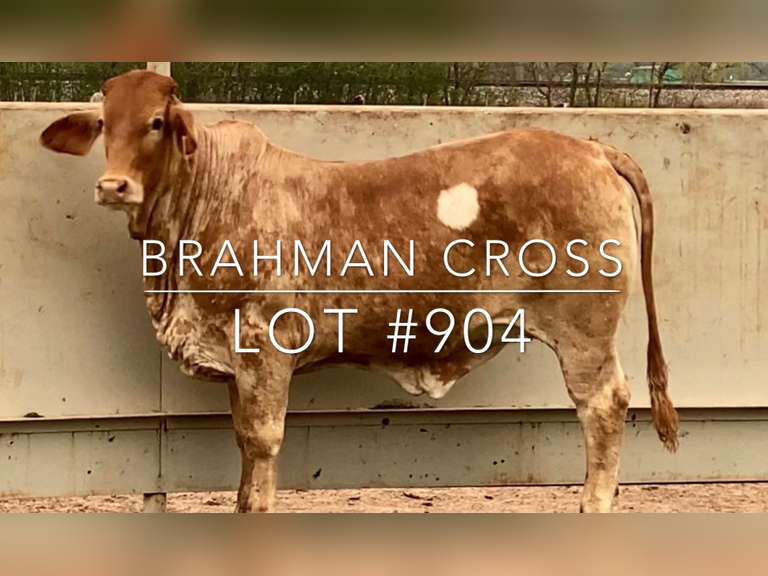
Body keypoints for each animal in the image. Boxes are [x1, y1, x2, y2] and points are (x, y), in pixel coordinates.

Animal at [40, 70, 678, 513]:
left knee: (604, 408)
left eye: (156, 122)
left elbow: (262, 447)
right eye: (104, 123)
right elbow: (244, 452)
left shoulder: (267, 352)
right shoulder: (238, 366)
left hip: (585, 331)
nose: (113, 186)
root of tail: (594, 148)